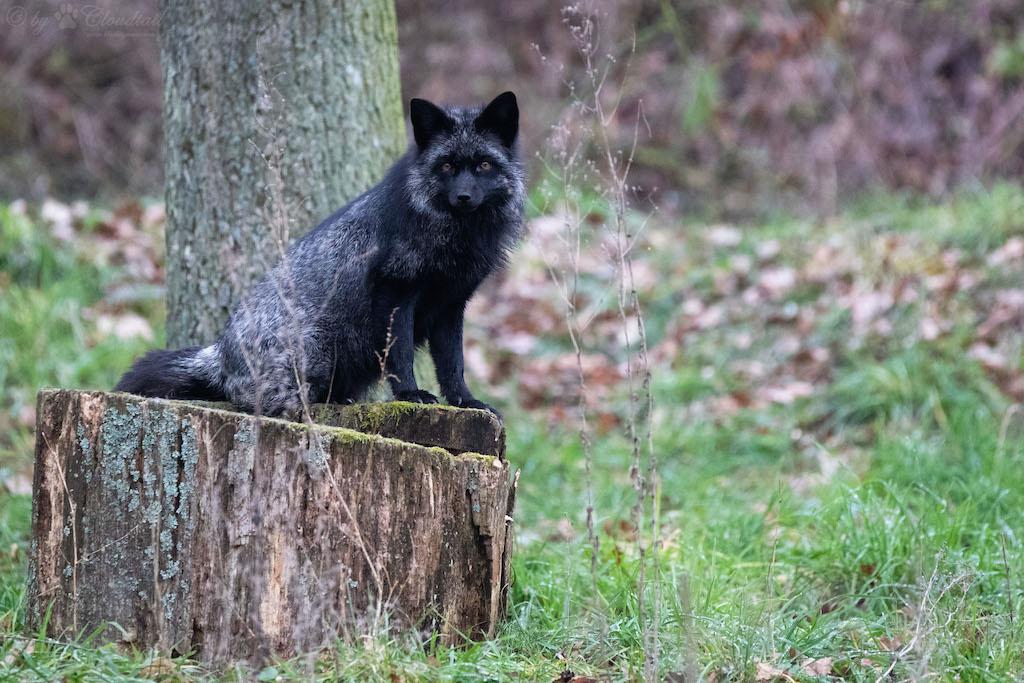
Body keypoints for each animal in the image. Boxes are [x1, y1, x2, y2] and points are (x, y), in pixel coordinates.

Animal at [115, 91, 524, 417]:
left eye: (484, 165)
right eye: (447, 166)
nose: (464, 197)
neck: (455, 239)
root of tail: (221, 351)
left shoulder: (451, 303)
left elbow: (453, 364)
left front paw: (465, 402)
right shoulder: (395, 291)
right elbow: (400, 355)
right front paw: (410, 395)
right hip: (314, 348)